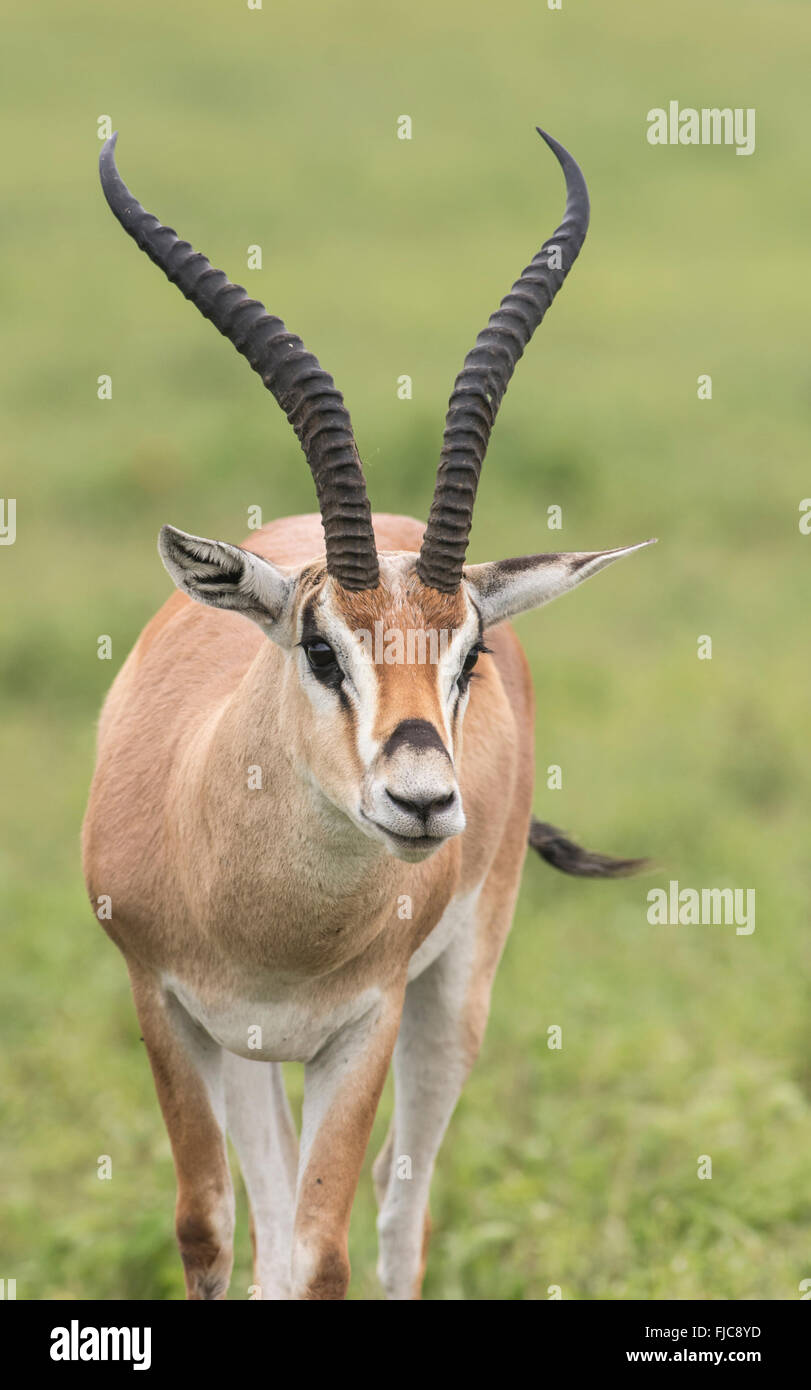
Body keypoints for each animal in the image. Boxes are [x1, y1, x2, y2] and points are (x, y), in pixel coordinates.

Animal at [83, 126, 654, 1302]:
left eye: (467, 653)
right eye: (318, 646)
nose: (423, 800)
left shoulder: (364, 1027)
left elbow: (322, 1253)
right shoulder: (166, 1005)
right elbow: (212, 1232)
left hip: (454, 993)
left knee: (401, 1200)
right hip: (252, 1055)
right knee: (271, 1218)